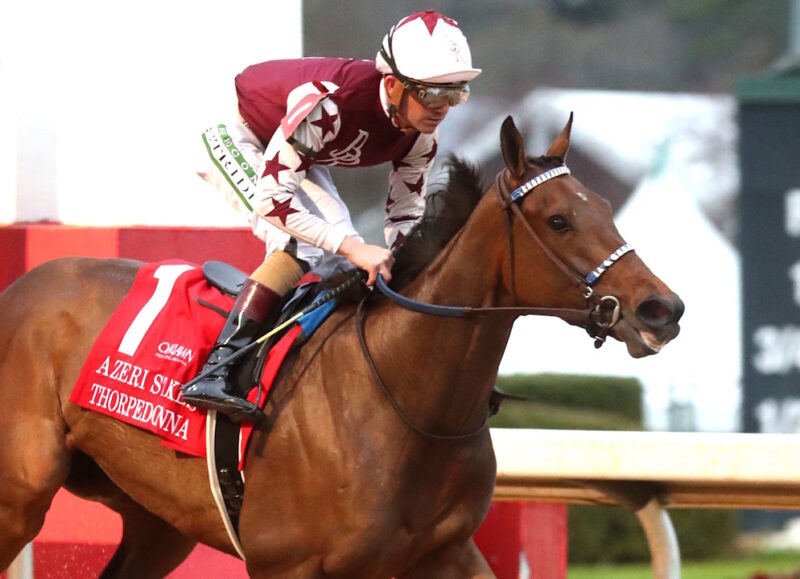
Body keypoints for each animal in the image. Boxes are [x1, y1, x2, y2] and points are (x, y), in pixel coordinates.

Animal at [0, 115, 683, 578]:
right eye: (558, 221)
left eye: (606, 207)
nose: (663, 309)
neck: (406, 400)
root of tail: (22, 285)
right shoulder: (287, 565)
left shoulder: (446, 552)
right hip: (20, 494)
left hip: (157, 520)